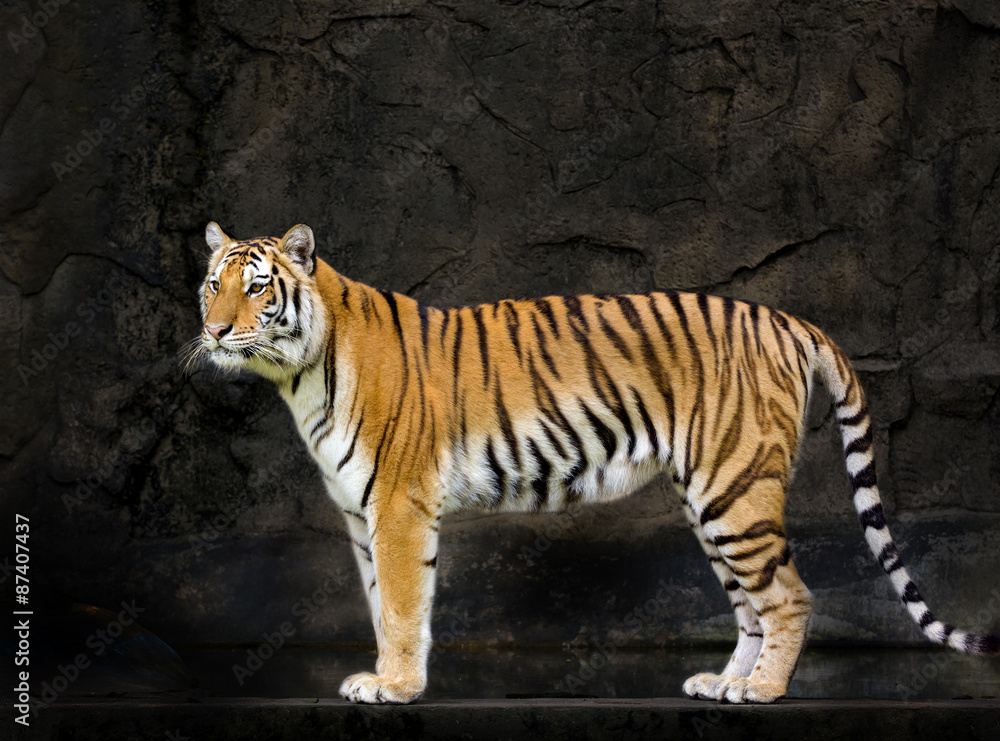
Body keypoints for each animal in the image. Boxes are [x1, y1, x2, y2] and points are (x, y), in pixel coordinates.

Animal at [191, 221, 999, 705]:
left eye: (257, 287)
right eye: (211, 283)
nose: (216, 330)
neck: (298, 375)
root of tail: (788, 319)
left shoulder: (397, 505)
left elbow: (399, 603)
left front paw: (393, 686)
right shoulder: (363, 514)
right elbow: (378, 601)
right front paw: (390, 678)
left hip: (736, 490)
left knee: (791, 596)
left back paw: (763, 692)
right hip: (711, 499)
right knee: (751, 604)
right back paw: (720, 683)